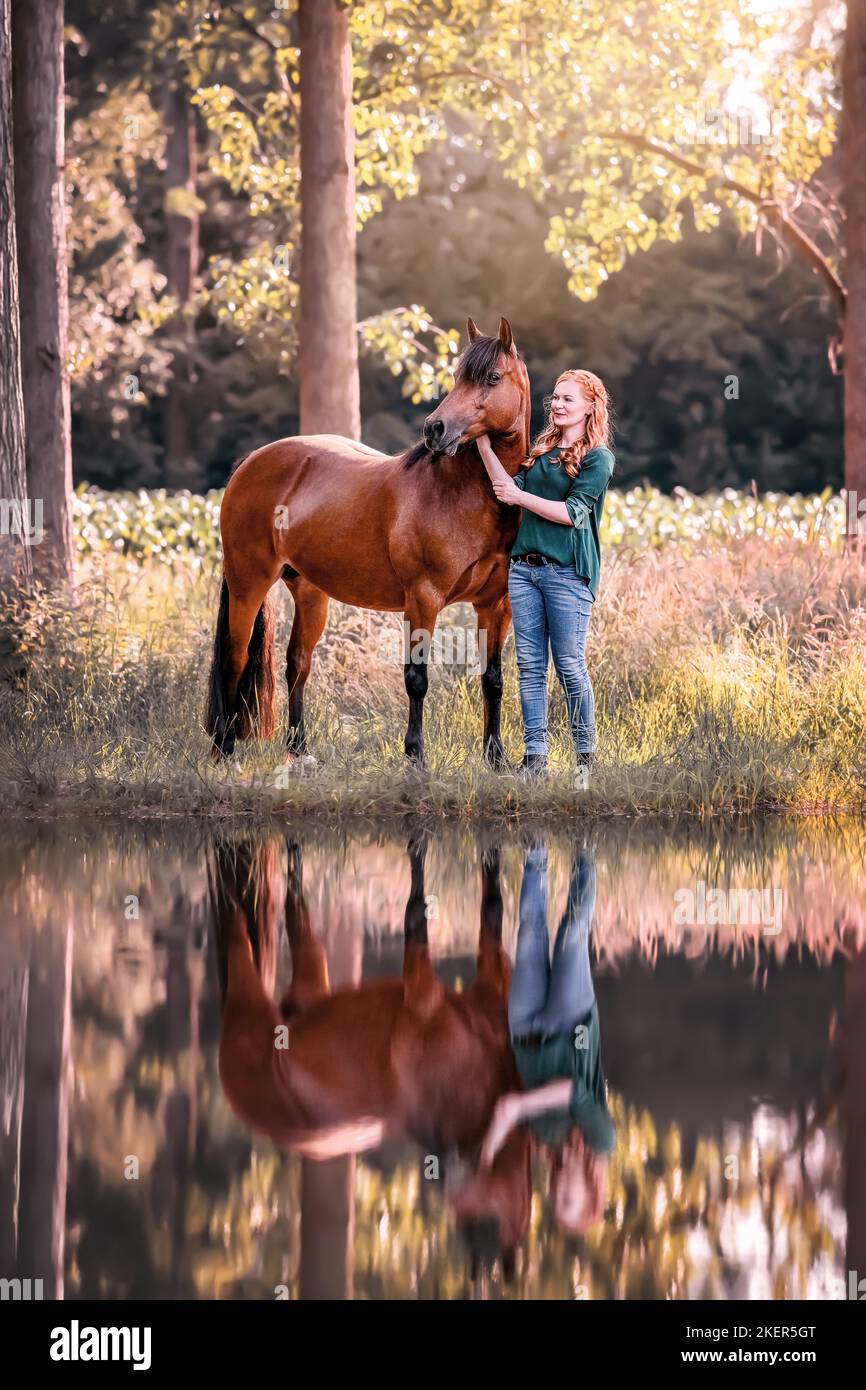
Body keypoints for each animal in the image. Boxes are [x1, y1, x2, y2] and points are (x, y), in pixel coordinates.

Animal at [205, 316, 531, 766]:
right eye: (456, 377)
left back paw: (299, 751)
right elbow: (417, 678)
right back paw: (224, 749)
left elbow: (493, 679)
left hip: (309, 592)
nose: (435, 429)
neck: (459, 493)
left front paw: (496, 758)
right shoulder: (422, 599)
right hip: (247, 584)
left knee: (297, 663)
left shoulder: (496, 605)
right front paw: (416, 757)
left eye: (493, 378)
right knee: (234, 659)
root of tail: (249, 462)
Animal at [210, 832, 531, 1279]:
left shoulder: (490, 976)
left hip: (311, 977)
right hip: (248, 990)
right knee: (236, 923)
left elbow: (493, 908)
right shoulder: (422, 995)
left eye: (481, 1225)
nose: (446, 1163)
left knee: (292, 904)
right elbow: (416, 910)